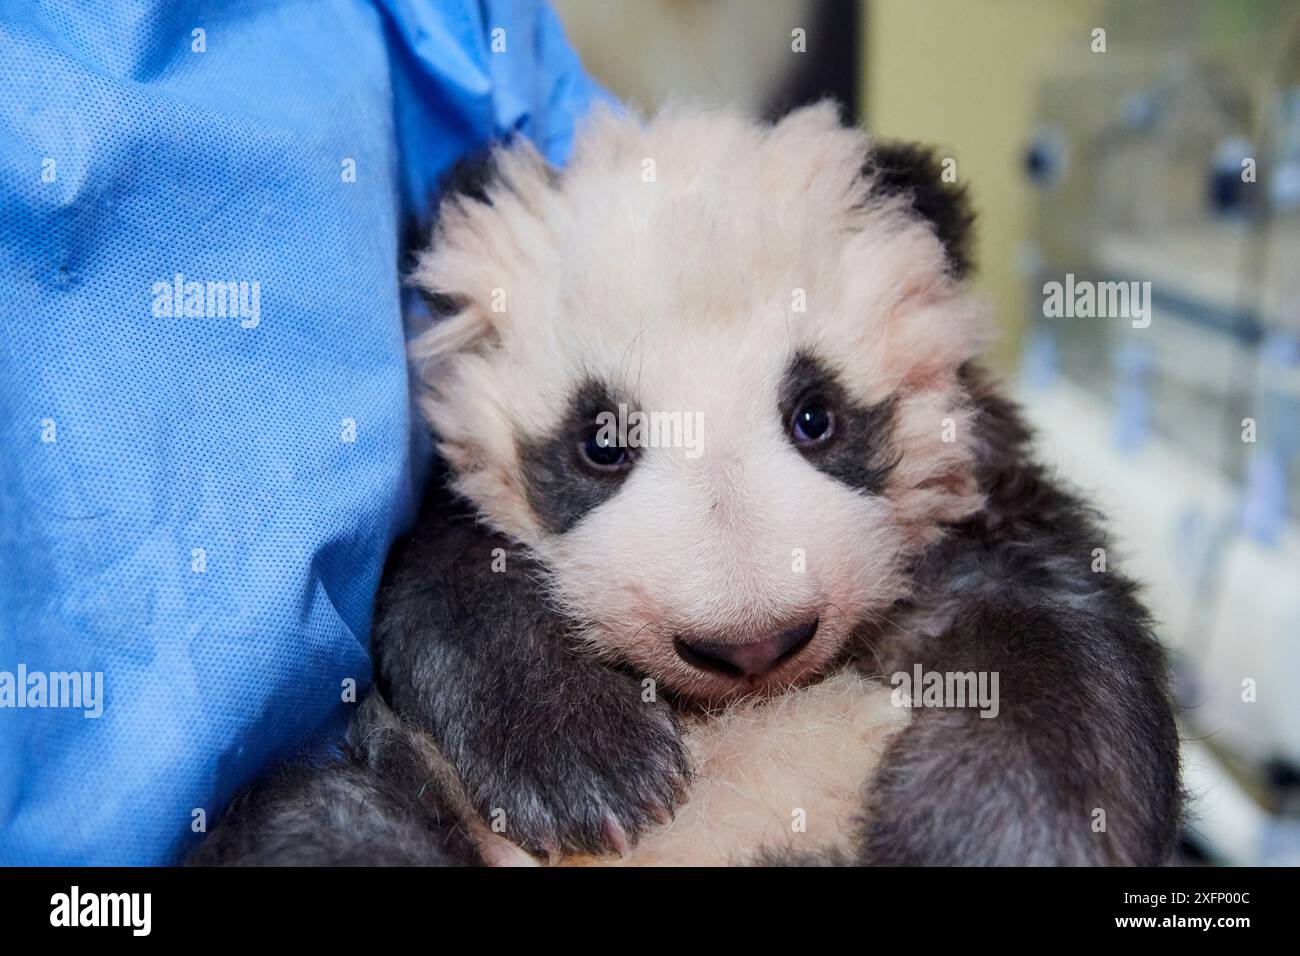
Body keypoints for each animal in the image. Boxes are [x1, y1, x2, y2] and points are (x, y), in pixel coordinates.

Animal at [192, 103, 1181, 867]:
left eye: (815, 416)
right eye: (600, 440)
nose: (751, 643)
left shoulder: (980, 525)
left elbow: (1058, 651)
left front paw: (1009, 834)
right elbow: (447, 578)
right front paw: (589, 761)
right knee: (326, 821)